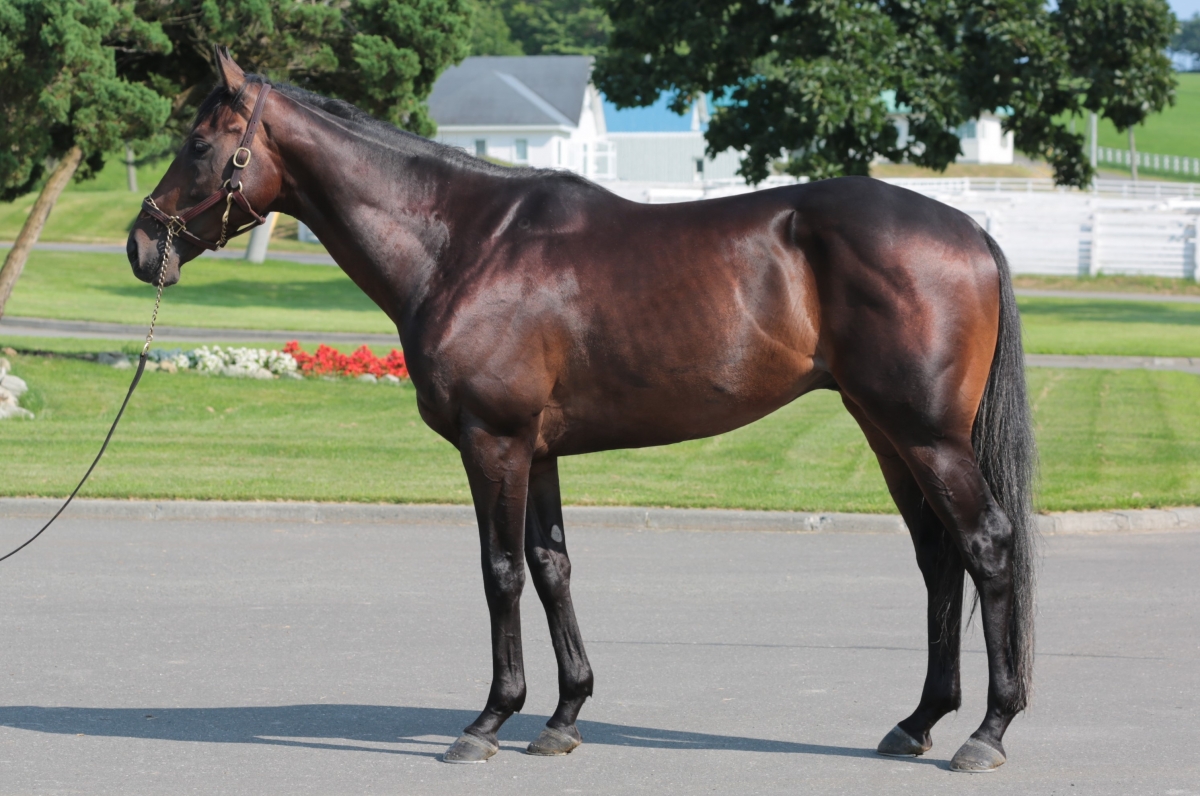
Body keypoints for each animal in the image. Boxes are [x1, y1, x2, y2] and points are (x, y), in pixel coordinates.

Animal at [126, 50, 1036, 772]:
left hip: (925, 436)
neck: (463, 243)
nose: (142, 246)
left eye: (200, 144)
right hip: (887, 434)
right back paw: (918, 721)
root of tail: (970, 230)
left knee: (987, 545)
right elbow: (551, 567)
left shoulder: (492, 443)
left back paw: (987, 732)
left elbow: (498, 572)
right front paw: (562, 717)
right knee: (939, 558)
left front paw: (489, 720)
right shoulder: (538, 451)